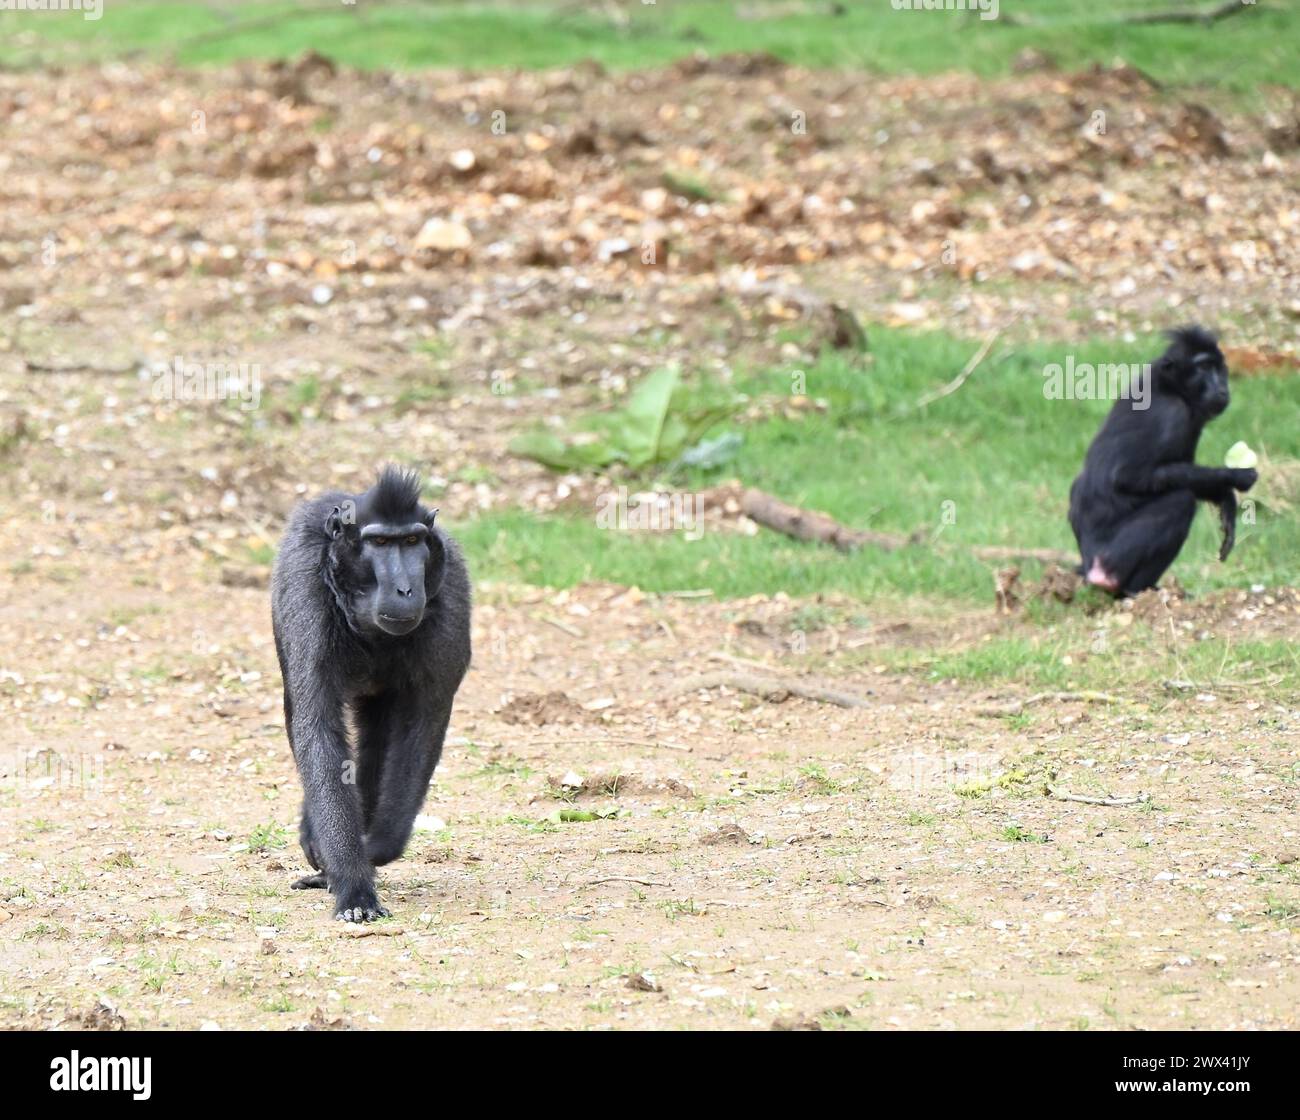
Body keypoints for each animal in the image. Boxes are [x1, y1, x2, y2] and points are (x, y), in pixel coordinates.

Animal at [270, 467, 471, 921]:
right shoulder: (305, 588)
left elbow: (423, 724)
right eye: (379, 543)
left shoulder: (450, 589)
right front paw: (353, 883)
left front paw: (373, 848)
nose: (405, 590)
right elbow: (316, 726)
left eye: (411, 542)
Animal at [1068, 326, 1257, 598]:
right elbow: (1128, 476)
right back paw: (1126, 587)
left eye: (1218, 368)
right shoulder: (1172, 415)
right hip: (1109, 555)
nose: (1222, 387)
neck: (1172, 388)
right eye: (1203, 367)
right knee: (1180, 502)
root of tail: (1087, 561)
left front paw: (1226, 499)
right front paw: (1236, 477)